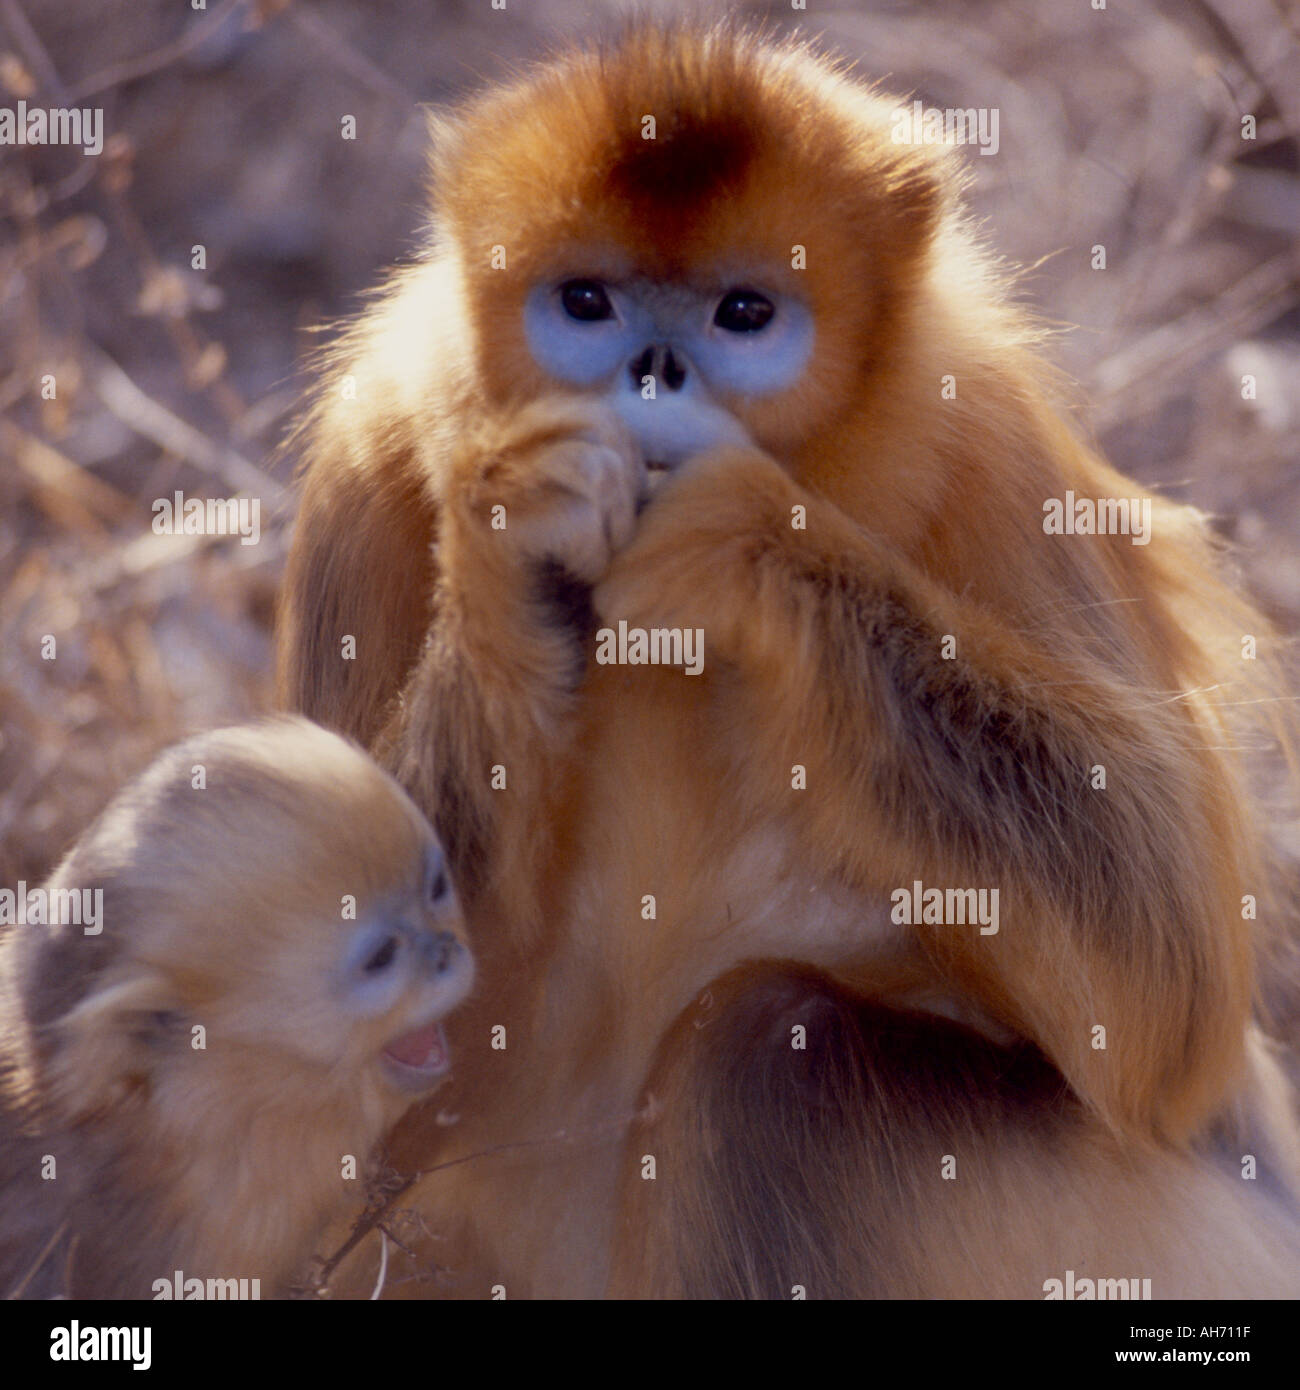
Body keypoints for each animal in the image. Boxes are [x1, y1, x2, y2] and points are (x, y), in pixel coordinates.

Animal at [276, 24, 1300, 1296]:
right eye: (587, 302)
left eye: (743, 312)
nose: (654, 372)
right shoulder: (371, 451)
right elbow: (351, 1096)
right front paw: (514, 532)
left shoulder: (990, 440)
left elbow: (1170, 995)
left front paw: (740, 536)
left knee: (767, 1060)